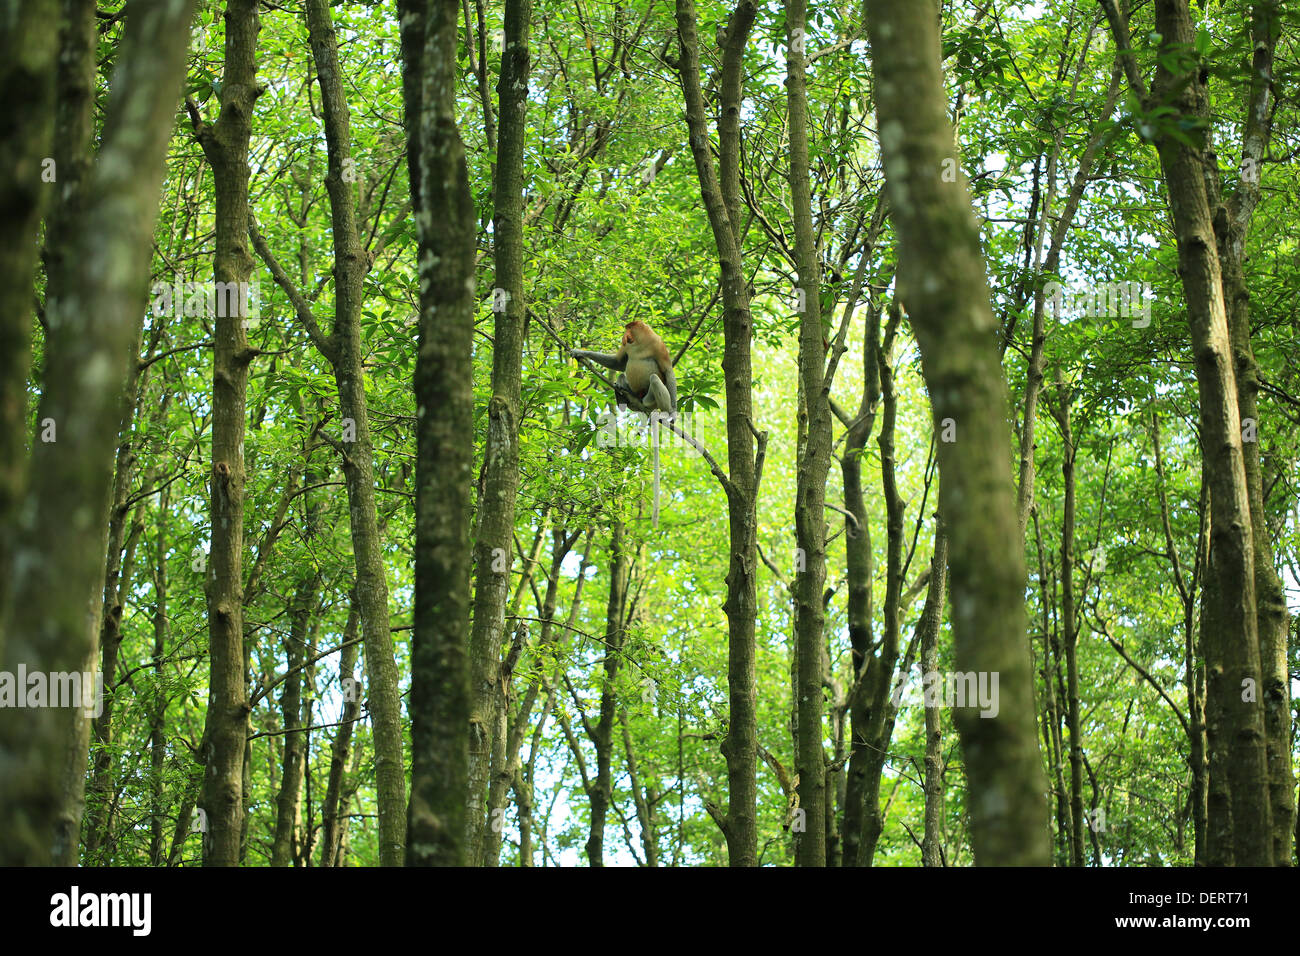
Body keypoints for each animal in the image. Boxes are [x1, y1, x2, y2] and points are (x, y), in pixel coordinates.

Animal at [570, 320, 677, 527]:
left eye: (629, 328)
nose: (624, 336)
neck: (640, 343)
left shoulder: (658, 345)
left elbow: (667, 371)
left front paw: (674, 412)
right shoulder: (628, 348)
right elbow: (619, 363)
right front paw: (579, 352)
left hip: (652, 398)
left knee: (654, 379)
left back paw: (662, 409)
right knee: (622, 377)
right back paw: (621, 393)